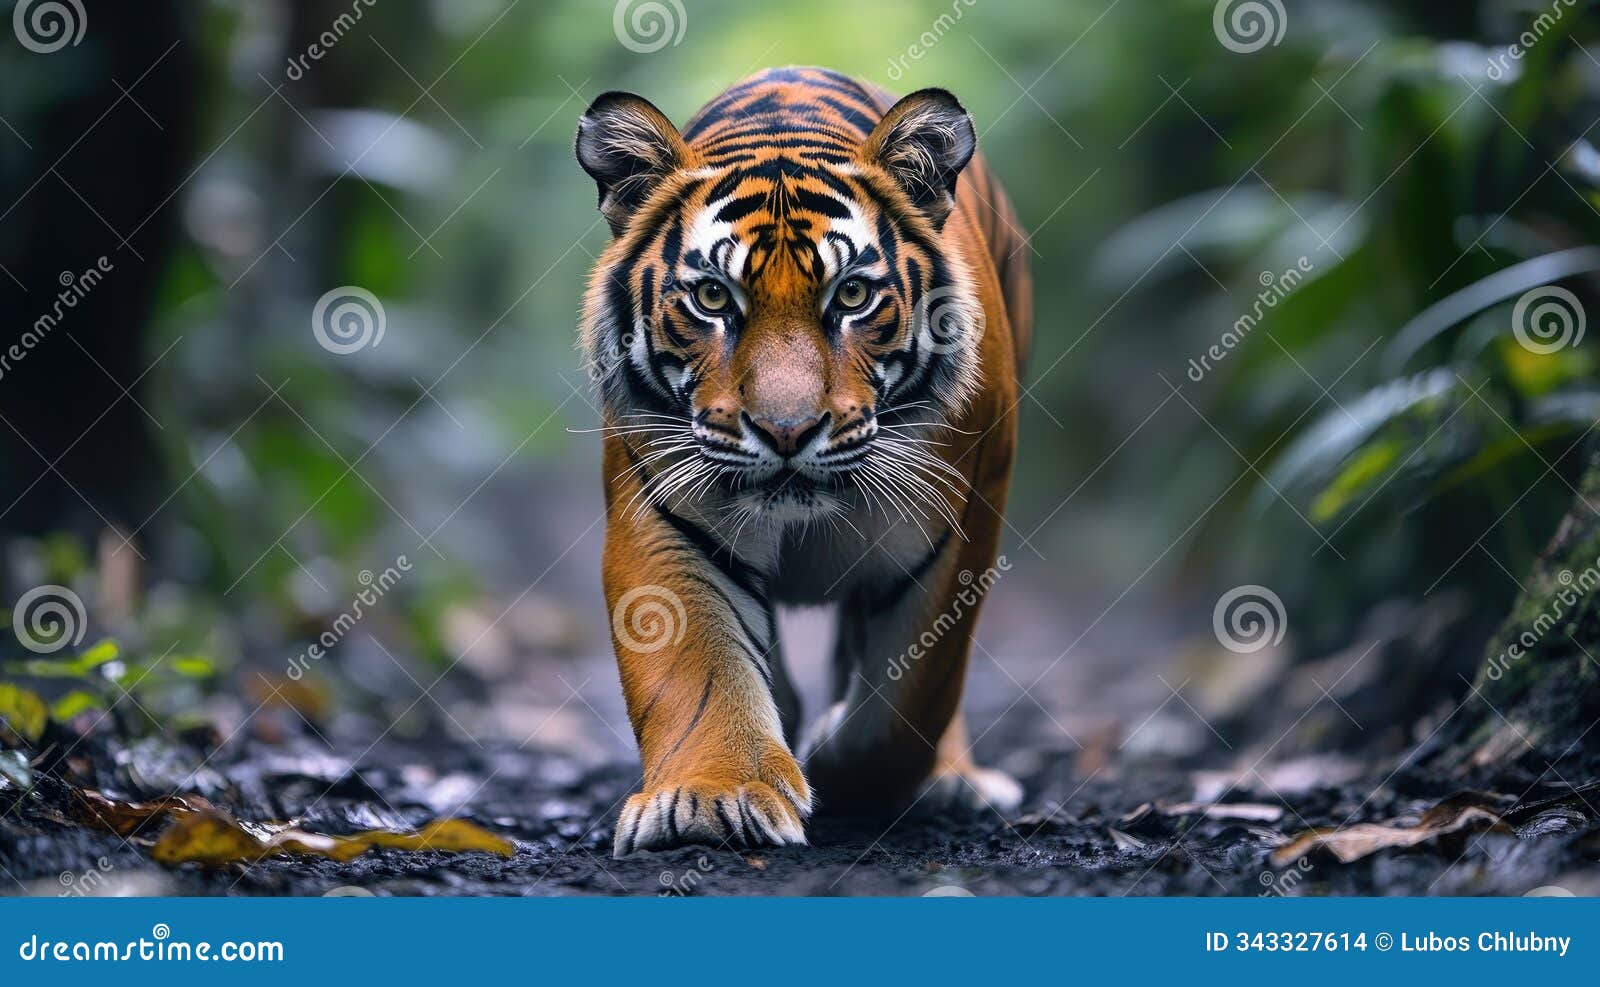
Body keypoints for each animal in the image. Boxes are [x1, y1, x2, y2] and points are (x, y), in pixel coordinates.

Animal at [575, 67, 1032, 857]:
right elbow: (699, 665)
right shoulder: (663, 512)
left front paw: (847, 780)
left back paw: (950, 780)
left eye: (851, 294)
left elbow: (912, 699)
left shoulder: (962, 524)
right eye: (711, 296)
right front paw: (713, 797)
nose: (785, 431)